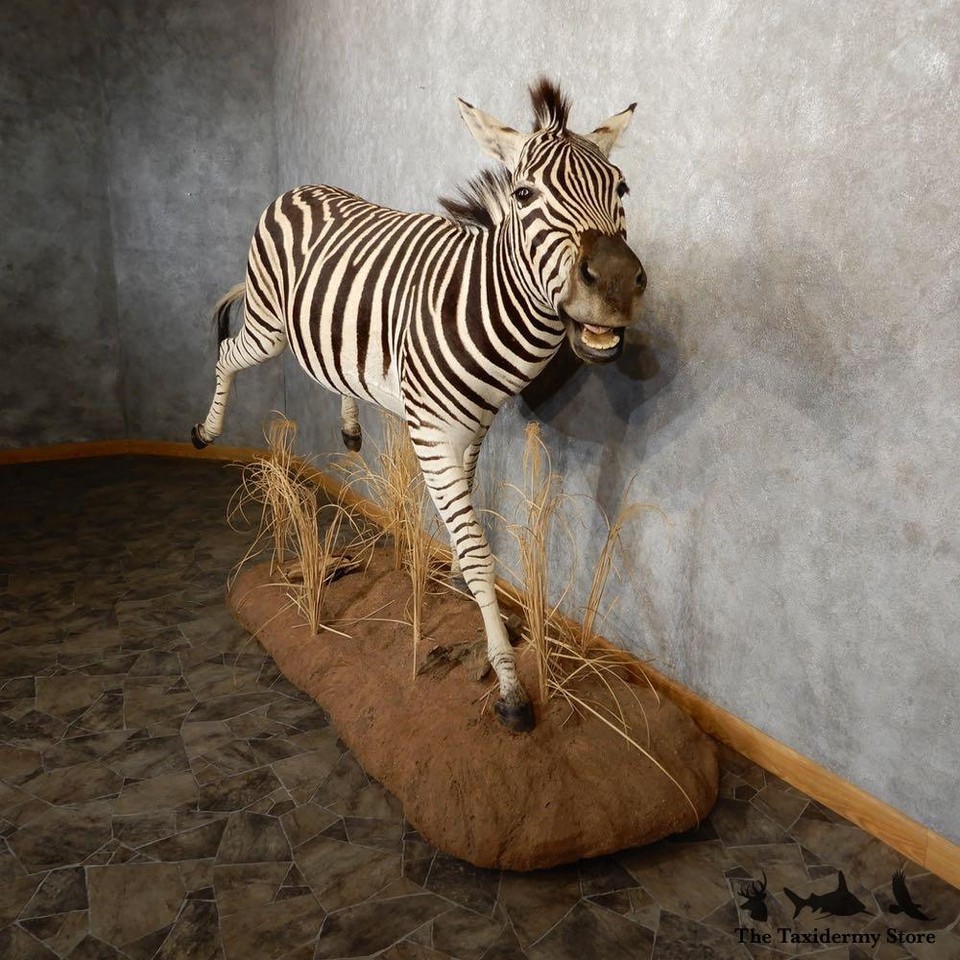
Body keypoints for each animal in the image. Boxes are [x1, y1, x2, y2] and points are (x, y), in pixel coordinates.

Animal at [193, 80, 646, 732]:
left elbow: (465, 518)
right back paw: (205, 431)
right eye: (524, 193)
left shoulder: (475, 427)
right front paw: (510, 683)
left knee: (337, 373)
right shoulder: (433, 434)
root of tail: (298, 186)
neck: (484, 306)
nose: (613, 286)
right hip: (267, 323)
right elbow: (480, 552)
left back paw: (350, 426)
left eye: (622, 189)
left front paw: (455, 579)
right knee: (228, 352)